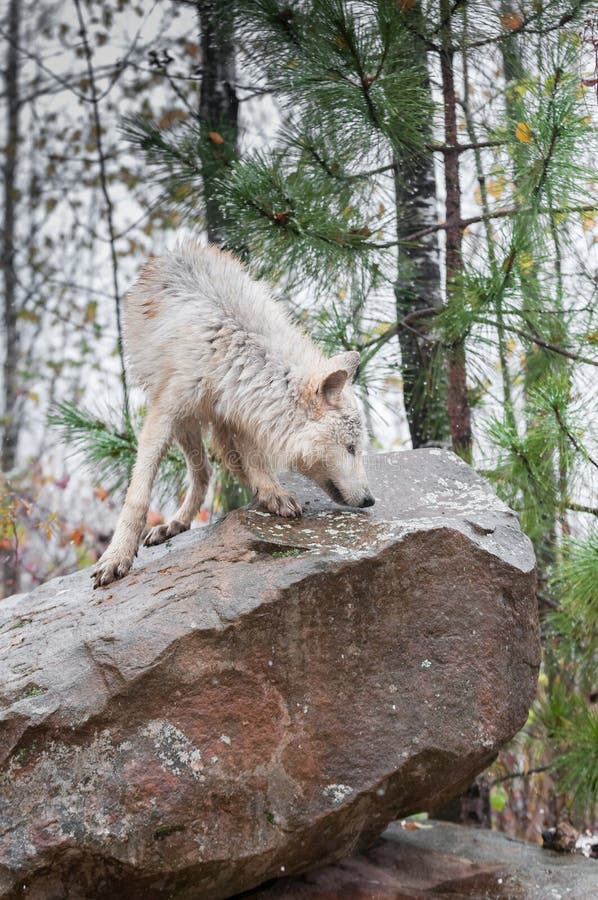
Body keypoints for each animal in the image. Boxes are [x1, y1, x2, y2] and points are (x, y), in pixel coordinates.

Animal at [93, 240, 374, 588]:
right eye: (350, 448)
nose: (370, 500)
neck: (234, 353)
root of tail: (171, 253)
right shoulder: (166, 412)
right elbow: (138, 494)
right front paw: (116, 556)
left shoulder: (243, 412)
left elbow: (253, 459)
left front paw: (272, 494)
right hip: (186, 423)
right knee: (203, 473)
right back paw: (175, 524)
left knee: (217, 468)